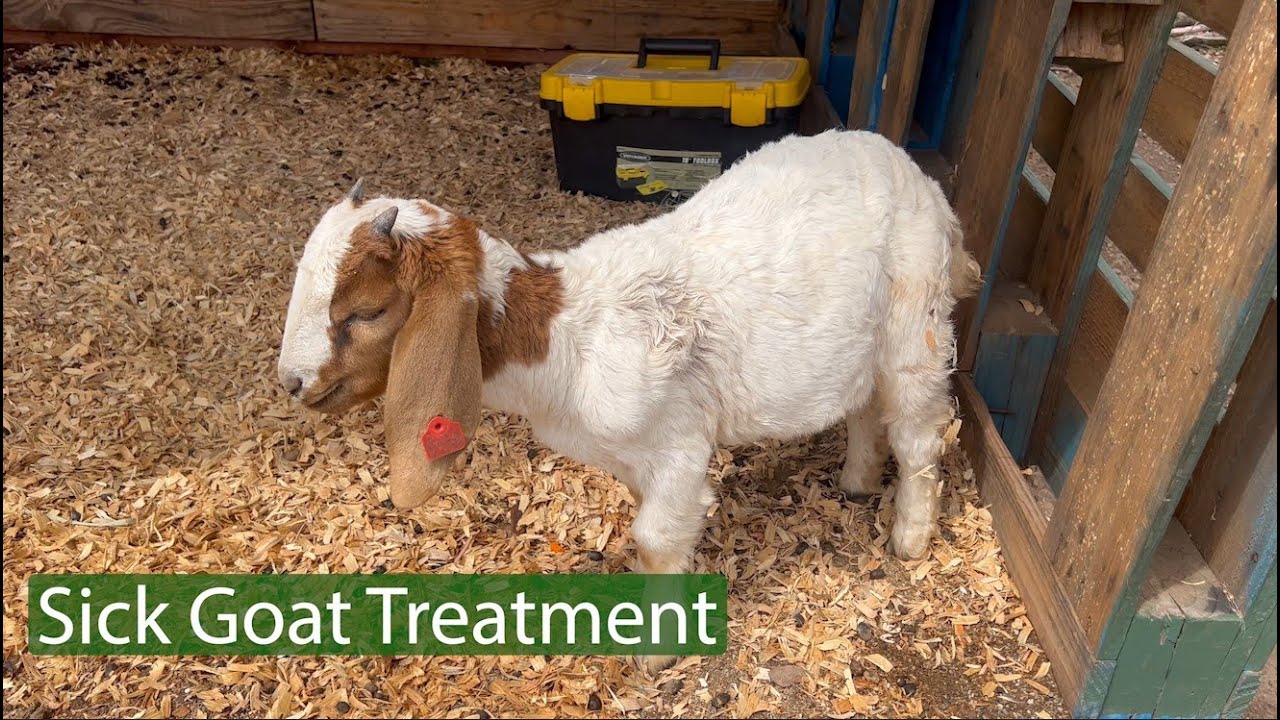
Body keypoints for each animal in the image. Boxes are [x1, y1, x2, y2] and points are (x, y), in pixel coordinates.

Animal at [278, 129, 981, 664]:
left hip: (917, 325)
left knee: (919, 435)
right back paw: (857, 482)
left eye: (366, 312)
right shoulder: (633, 458)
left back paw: (910, 538)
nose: (292, 382)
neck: (567, 339)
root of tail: (915, 174)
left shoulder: (679, 448)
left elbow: (656, 535)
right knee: (864, 407)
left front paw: (657, 651)